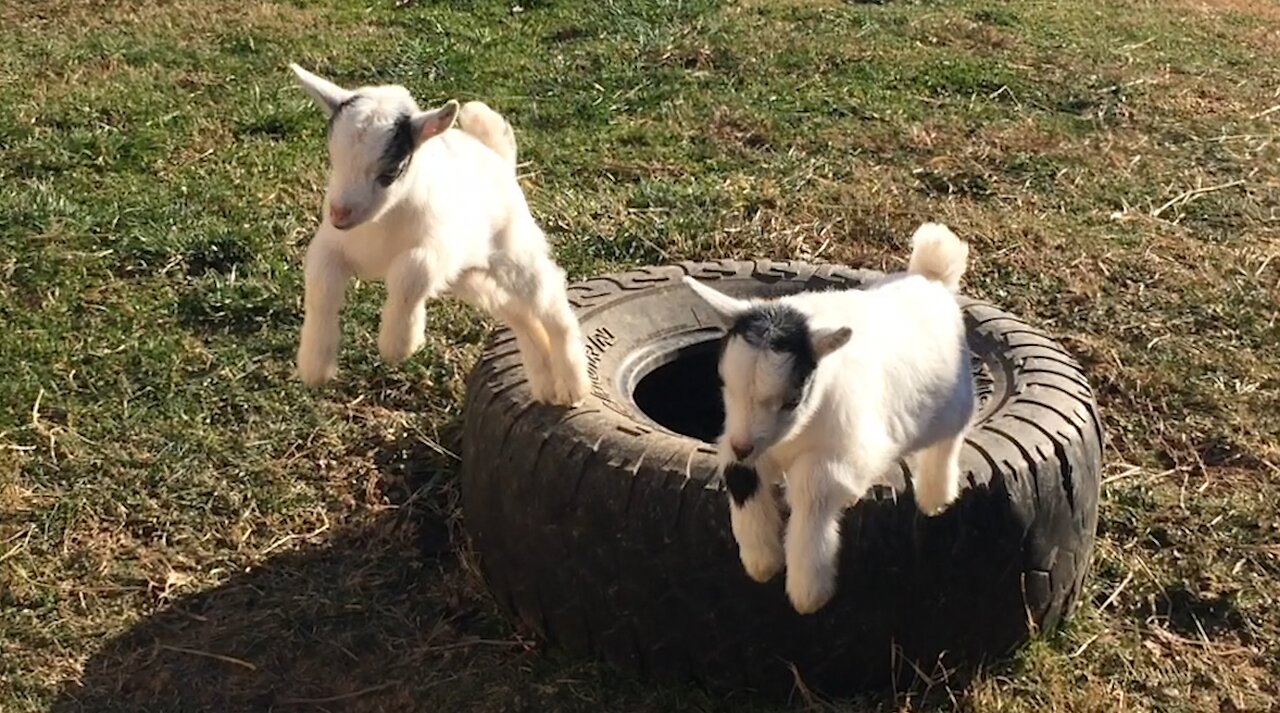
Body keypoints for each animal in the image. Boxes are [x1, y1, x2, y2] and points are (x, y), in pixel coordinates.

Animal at [289, 64, 589, 405]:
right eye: (334, 160)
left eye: (390, 172)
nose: (339, 214)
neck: (381, 224)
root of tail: (497, 159)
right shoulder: (330, 247)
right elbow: (322, 288)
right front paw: (314, 365)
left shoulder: (439, 247)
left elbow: (409, 275)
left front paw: (399, 343)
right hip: (470, 279)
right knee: (519, 315)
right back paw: (544, 383)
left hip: (515, 255)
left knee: (552, 304)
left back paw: (571, 385)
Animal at [683, 223, 975, 614]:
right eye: (724, 384)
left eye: (792, 400)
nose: (745, 446)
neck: (791, 437)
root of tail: (930, 277)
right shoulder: (738, 437)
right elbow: (739, 474)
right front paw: (762, 561)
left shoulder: (846, 451)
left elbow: (811, 491)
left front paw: (808, 589)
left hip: (953, 403)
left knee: (949, 440)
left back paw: (934, 496)